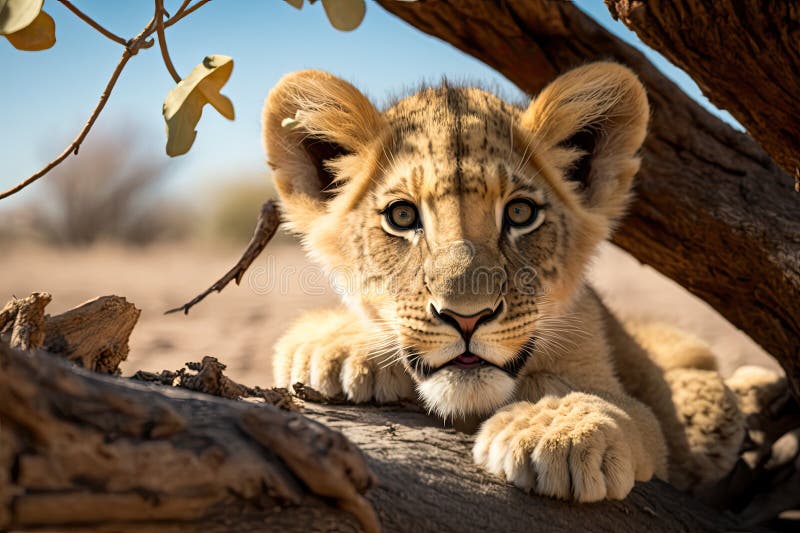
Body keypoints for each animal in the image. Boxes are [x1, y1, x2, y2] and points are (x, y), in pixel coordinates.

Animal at [261, 62, 771, 501]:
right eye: (402, 216)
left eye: (521, 213)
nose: (467, 318)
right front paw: (333, 348)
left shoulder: (645, 418)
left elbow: (622, 408)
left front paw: (557, 433)